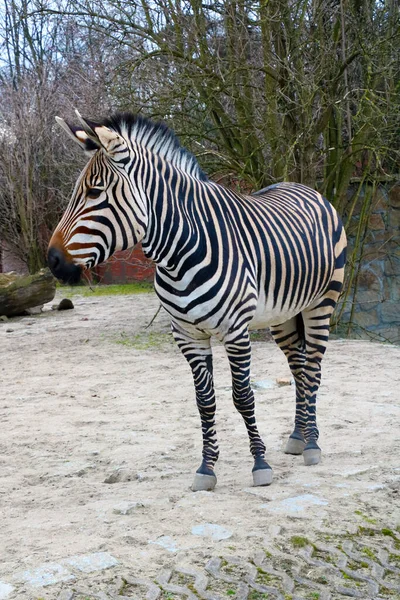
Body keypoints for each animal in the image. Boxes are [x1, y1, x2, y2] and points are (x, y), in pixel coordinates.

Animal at [47, 112, 346, 492]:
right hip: (282, 315)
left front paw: (260, 464)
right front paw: (207, 467)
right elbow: (205, 401)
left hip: (321, 303)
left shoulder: (236, 331)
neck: (178, 253)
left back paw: (312, 444)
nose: (52, 260)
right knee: (298, 366)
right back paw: (297, 435)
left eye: (94, 192)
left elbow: (242, 396)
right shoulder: (188, 335)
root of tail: (306, 187)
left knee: (313, 370)